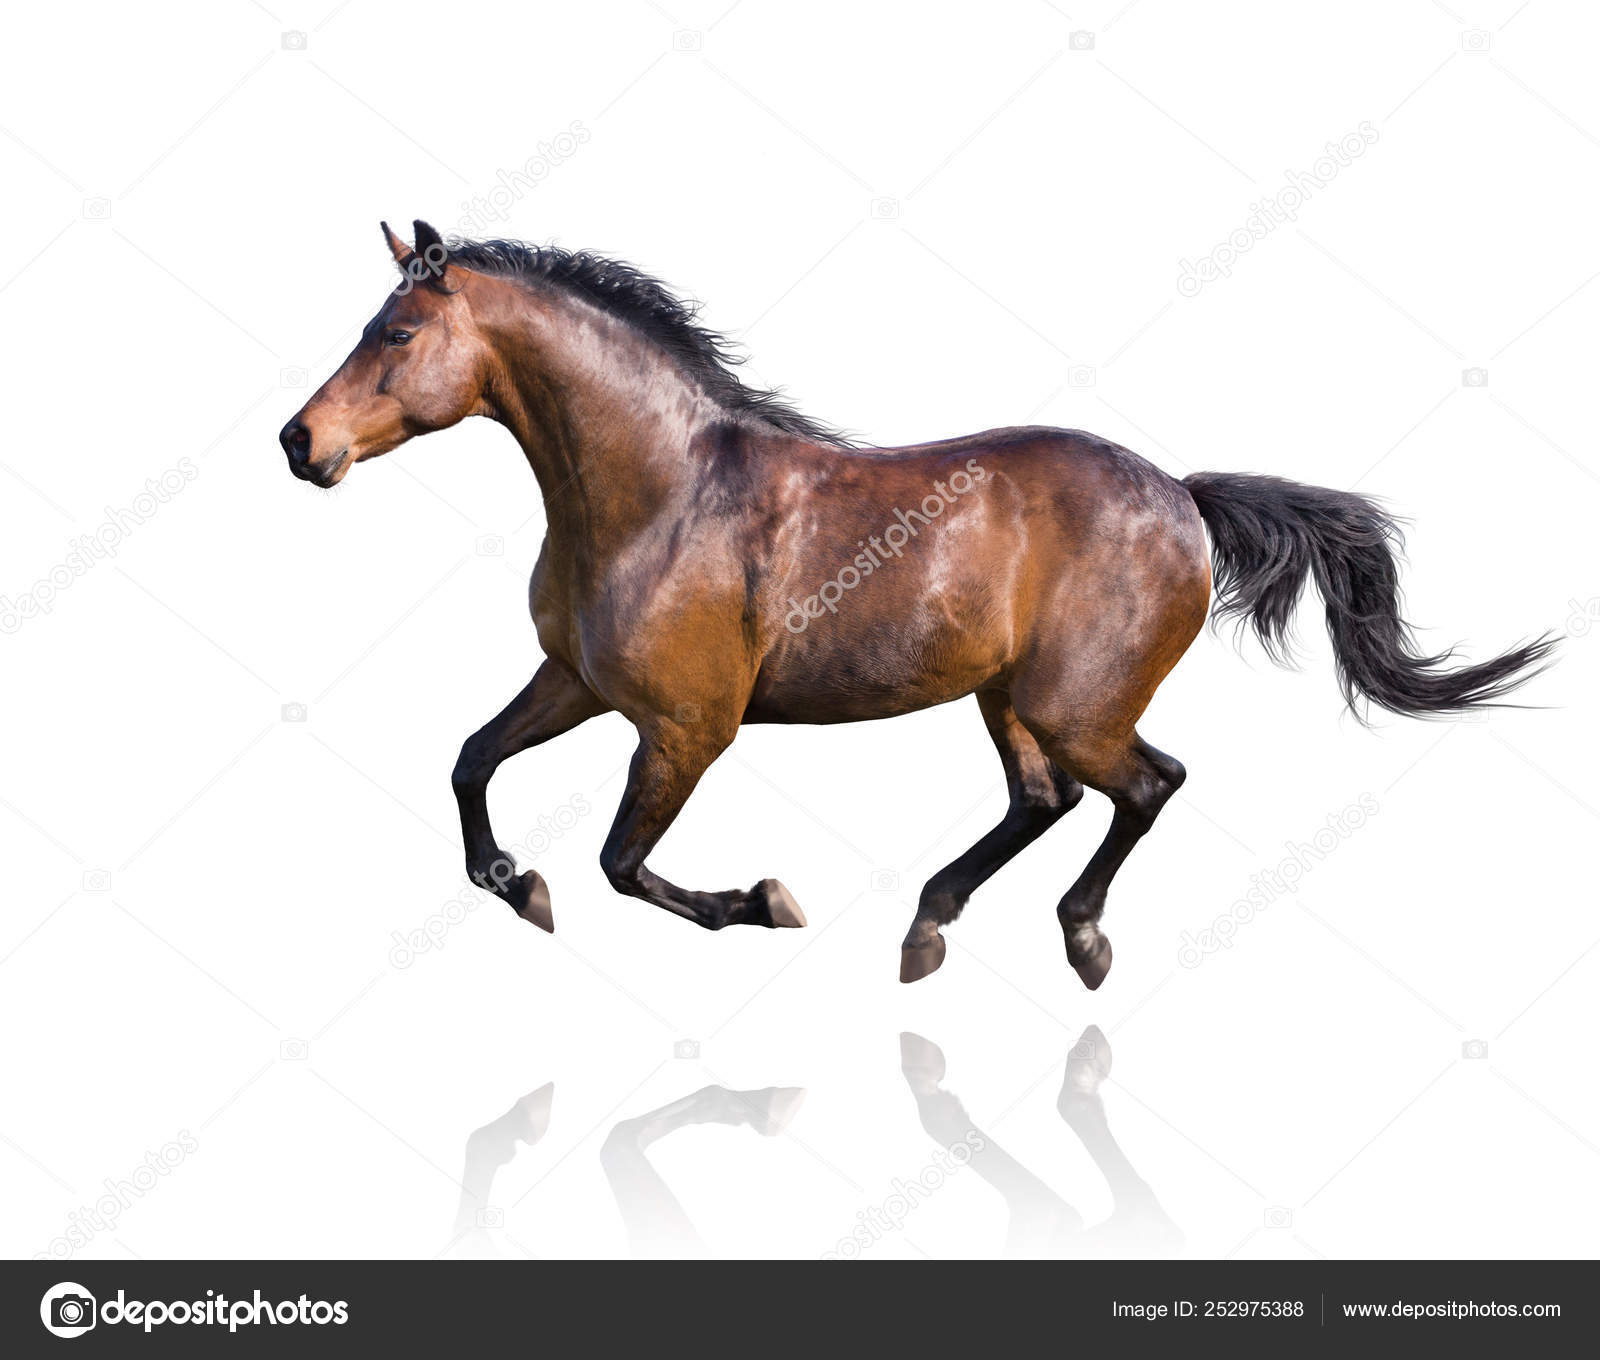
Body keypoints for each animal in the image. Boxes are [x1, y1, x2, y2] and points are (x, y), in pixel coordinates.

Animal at [279, 220, 1554, 990]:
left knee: (1147, 785)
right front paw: (516, 884)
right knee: (1046, 799)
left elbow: (621, 863)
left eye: (396, 332)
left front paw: (765, 903)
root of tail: (1183, 498)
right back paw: (930, 926)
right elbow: (469, 762)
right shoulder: (577, 683)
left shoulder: (686, 729)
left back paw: (1077, 937)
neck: (660, 495)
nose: (300, 443)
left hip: (1075, 704)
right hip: (1008, 701)